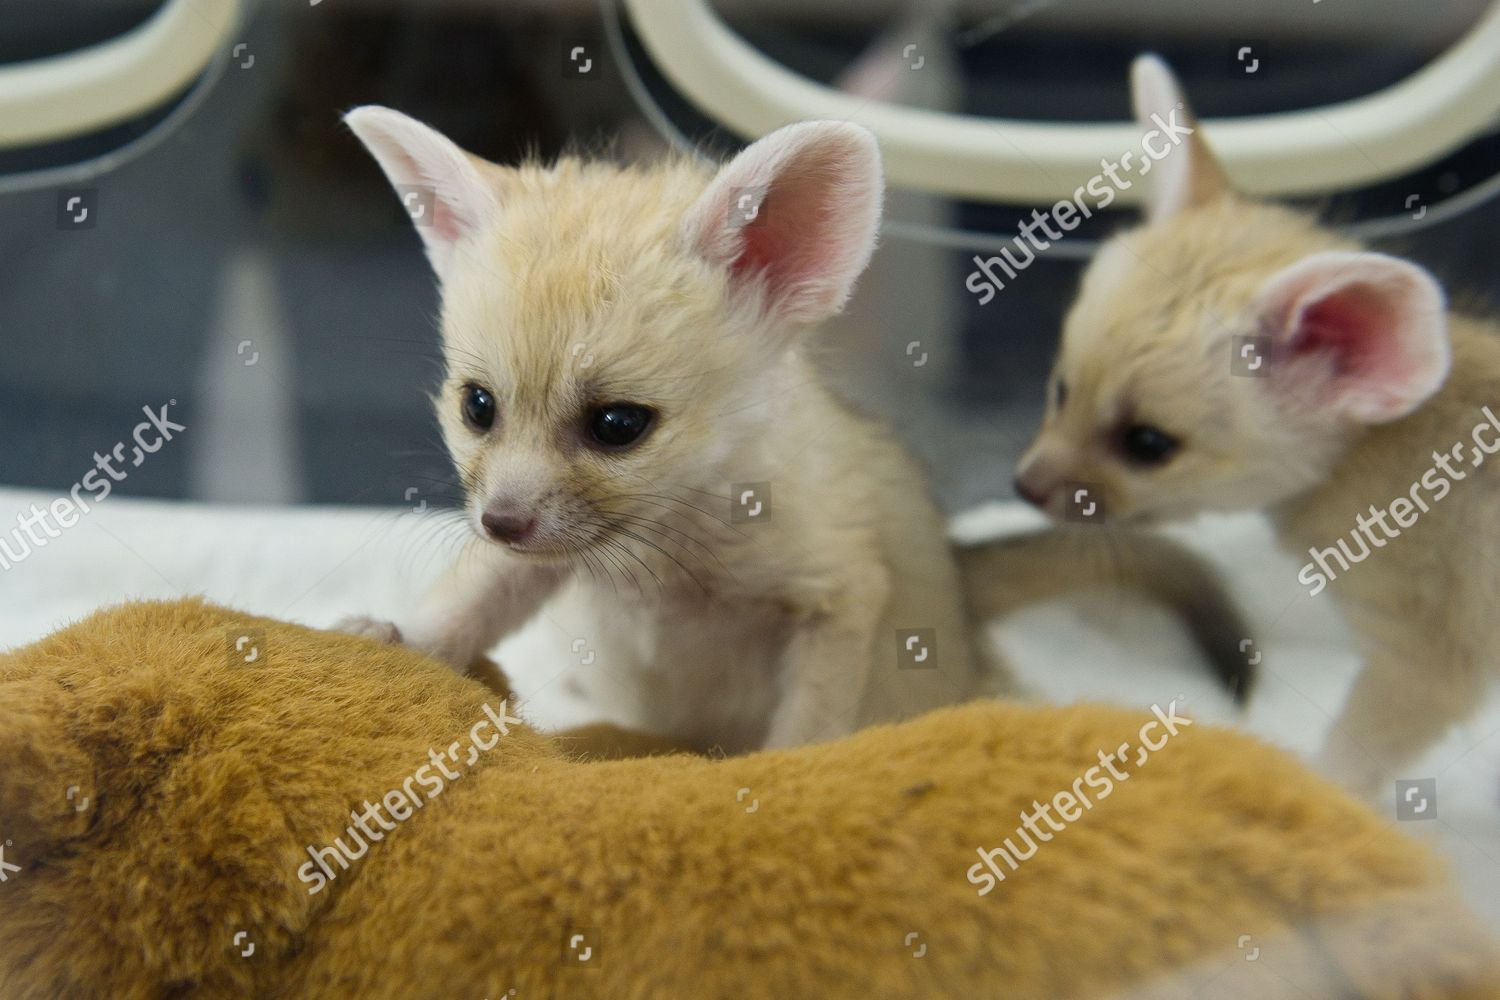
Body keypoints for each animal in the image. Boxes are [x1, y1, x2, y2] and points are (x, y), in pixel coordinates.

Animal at [336, 106, 1253, 753]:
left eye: (618, 425)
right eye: (477, 407)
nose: (497, 522)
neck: (671, 566)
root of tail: (960, 577)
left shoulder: (838, 596)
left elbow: (807, 728)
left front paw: (780, 781)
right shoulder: (543, 558)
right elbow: (463, 606)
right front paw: (396, 638)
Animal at [1016, 54, 1498, 793]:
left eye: (1148, 444)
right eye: (1061, 389)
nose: (1023, 487)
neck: (1377, 452)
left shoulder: (1426, 663)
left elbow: (1348, 763)